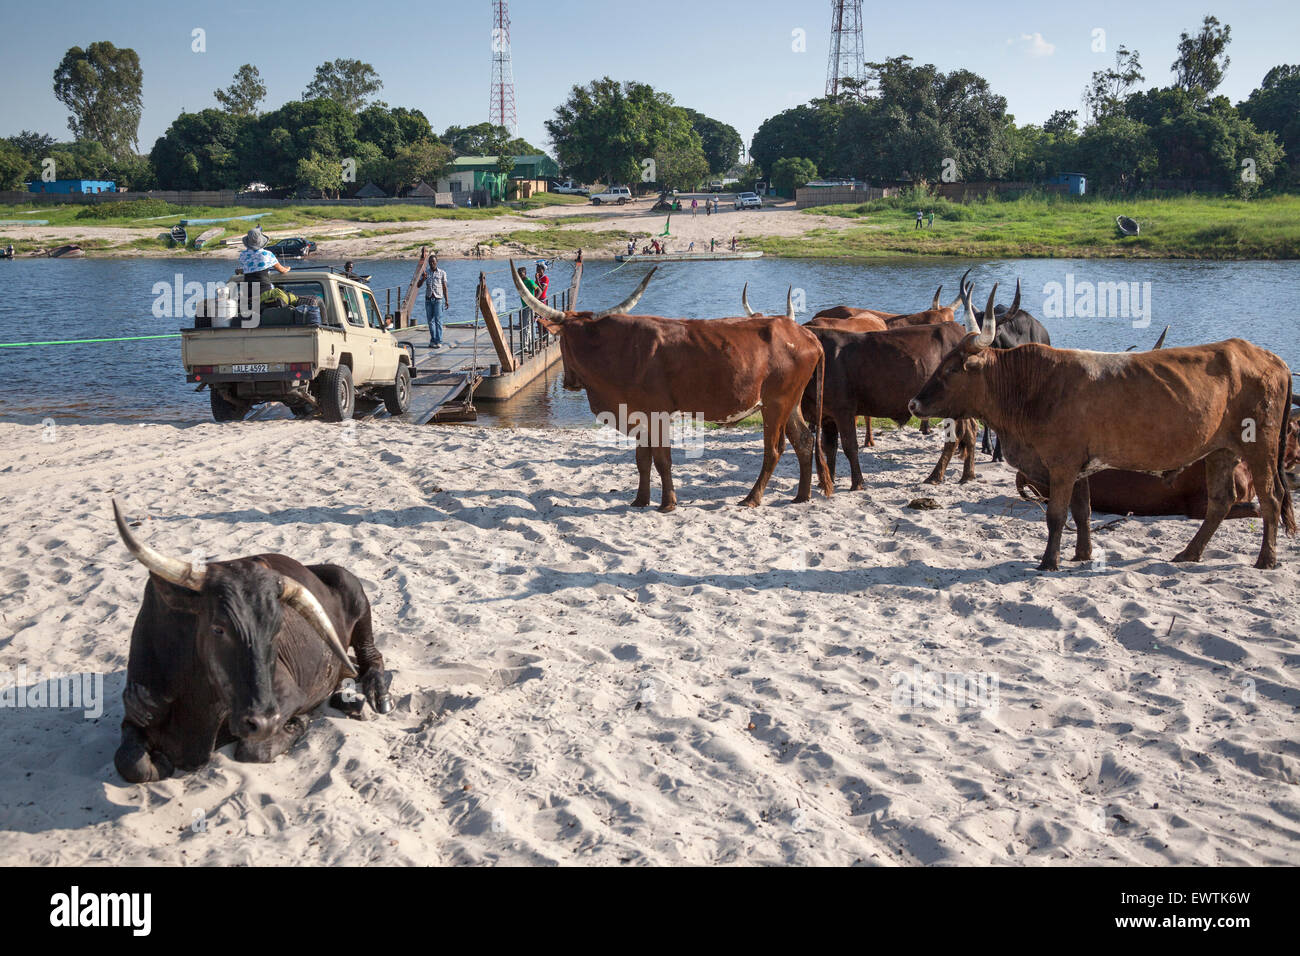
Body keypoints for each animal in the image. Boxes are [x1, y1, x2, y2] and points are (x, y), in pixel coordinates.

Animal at [111, 498, 392, 783]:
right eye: (218, 628)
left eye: (278, 628)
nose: (262, 721)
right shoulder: (133, 714)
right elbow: (130, 762)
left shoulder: (288, 697)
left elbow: (252, 749)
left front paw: (298, 722)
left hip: (354, 591)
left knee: (372, 656)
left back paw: (377, 694)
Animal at [511, 262, 832, 511]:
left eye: (561, 342)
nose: (568, 382)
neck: (620, 350)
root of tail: (803, 333)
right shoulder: (637, 415)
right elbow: (642, 459)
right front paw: (640, 500)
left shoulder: (658, 415)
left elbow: (662, 459)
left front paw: (667, 503)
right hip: (790, 404)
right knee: (804, 441)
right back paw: (801, 496)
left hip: (775, 405)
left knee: (774, 450)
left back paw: (753, 498)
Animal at [801, 322, 979, 490]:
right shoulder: (827, 416)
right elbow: (829, 447)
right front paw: (828, 481)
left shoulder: (844, 411)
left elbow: (849, 446)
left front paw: (857, 483)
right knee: (970, 431)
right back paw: (967, 475)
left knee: (954, 439)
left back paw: (935, 476)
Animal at [909, 285, 1296, 570]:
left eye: (954, 368)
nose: (914, 403)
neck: (1034, 385)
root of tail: (1267, 357)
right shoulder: (1079, 468)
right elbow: (1082, 512)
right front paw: (1082, 554)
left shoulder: (1062, 465)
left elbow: (1056, 515)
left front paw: (1049, 562)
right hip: (1221, 451)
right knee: (1220, 502)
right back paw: (1189, 553)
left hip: (1259, 446)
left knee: (1271, 498)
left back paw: (1266, 559)